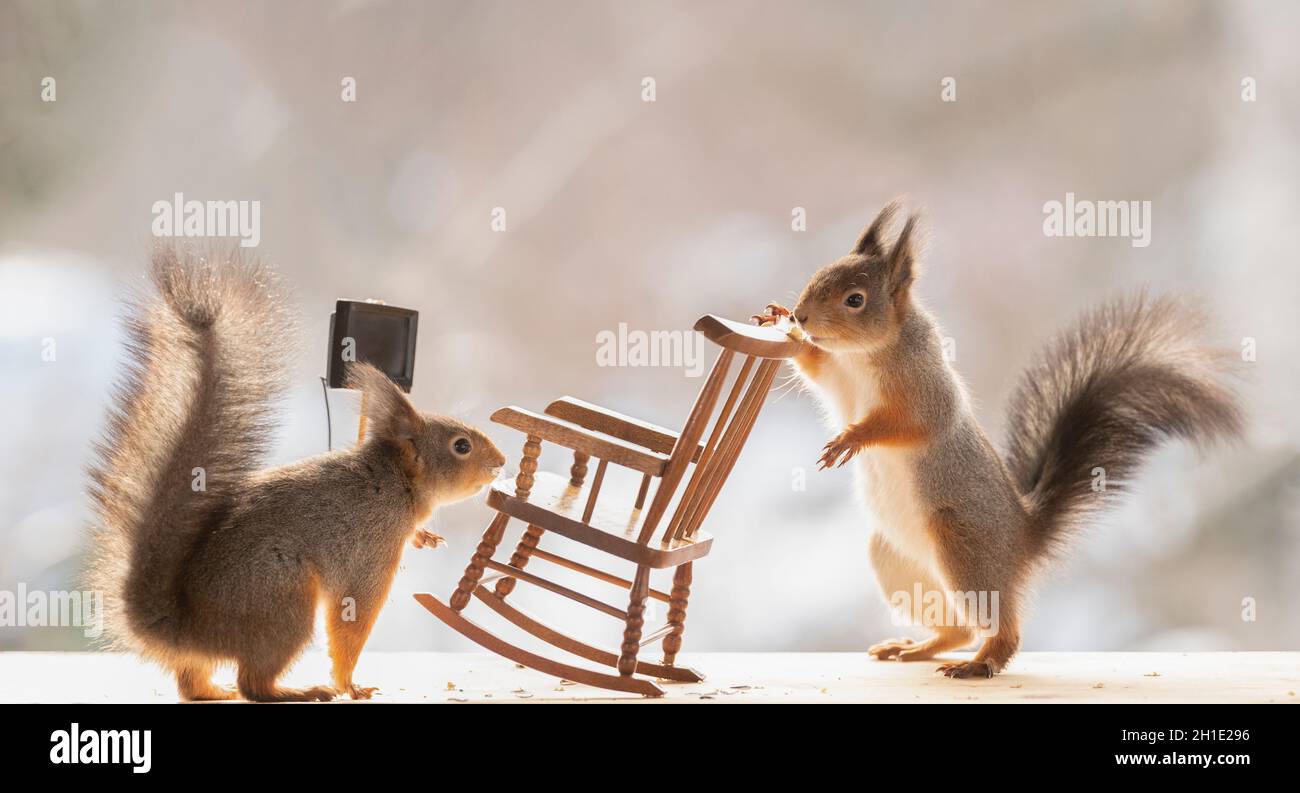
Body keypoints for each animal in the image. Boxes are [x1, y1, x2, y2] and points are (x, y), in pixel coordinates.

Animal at [86, 246, 506, 701]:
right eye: (461, 446)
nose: (501, 462)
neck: (395, 483)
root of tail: (187, 629)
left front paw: (425, 536)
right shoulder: (371, 551)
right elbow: (352, 620)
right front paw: (349, 684)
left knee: (191, 683)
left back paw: (215, 691)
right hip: (284, 599)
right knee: (253, 683)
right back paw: (297, 691)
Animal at [755, 200, 1242, 678]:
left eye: (855, 300)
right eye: (819, 274)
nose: (802, 315)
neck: (862, 355)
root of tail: (1022, 541)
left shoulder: (925, 392)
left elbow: (909, 424)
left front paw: (851, 438)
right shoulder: (837, 374)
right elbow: (814, 365)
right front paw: (781, 323)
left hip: (963, 550)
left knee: (998, 627)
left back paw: (982, 662)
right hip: (898, 561)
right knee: (957, 629)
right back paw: (917, 648)